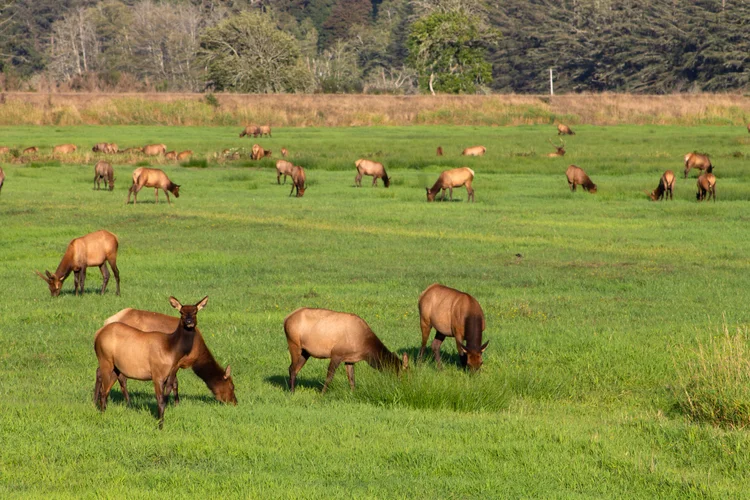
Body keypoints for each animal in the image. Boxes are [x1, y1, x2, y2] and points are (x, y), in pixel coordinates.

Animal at [94, 296, 208, 428]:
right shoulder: (157, 374)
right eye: (181, 312)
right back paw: (102, 415)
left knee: (106, 389)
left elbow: (165, 400)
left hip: (116, 367)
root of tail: (97, 335)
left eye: (195, 312)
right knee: (103, 390)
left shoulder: (170, 375)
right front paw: (160, 425)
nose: (189, 322)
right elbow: (160, 400)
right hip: (104, 359)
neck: (171, 350)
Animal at [101, 308, 237, 405]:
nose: (235, 402)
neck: (198, 357)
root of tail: (107, 321)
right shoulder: (177, 362)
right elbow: (174, 383)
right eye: (232, 386)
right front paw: (176, 403)